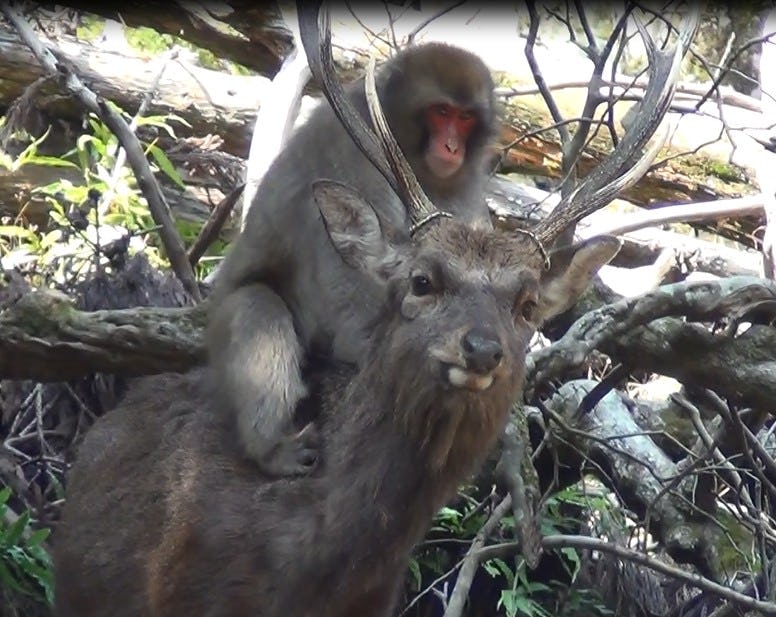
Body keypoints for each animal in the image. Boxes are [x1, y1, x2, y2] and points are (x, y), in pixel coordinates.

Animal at [207, 42, 498, 477]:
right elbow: (357, 262)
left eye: (465, 118)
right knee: (257, 307)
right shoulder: (351, 155)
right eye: (441, 112)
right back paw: (271, 449)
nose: (451, 148)